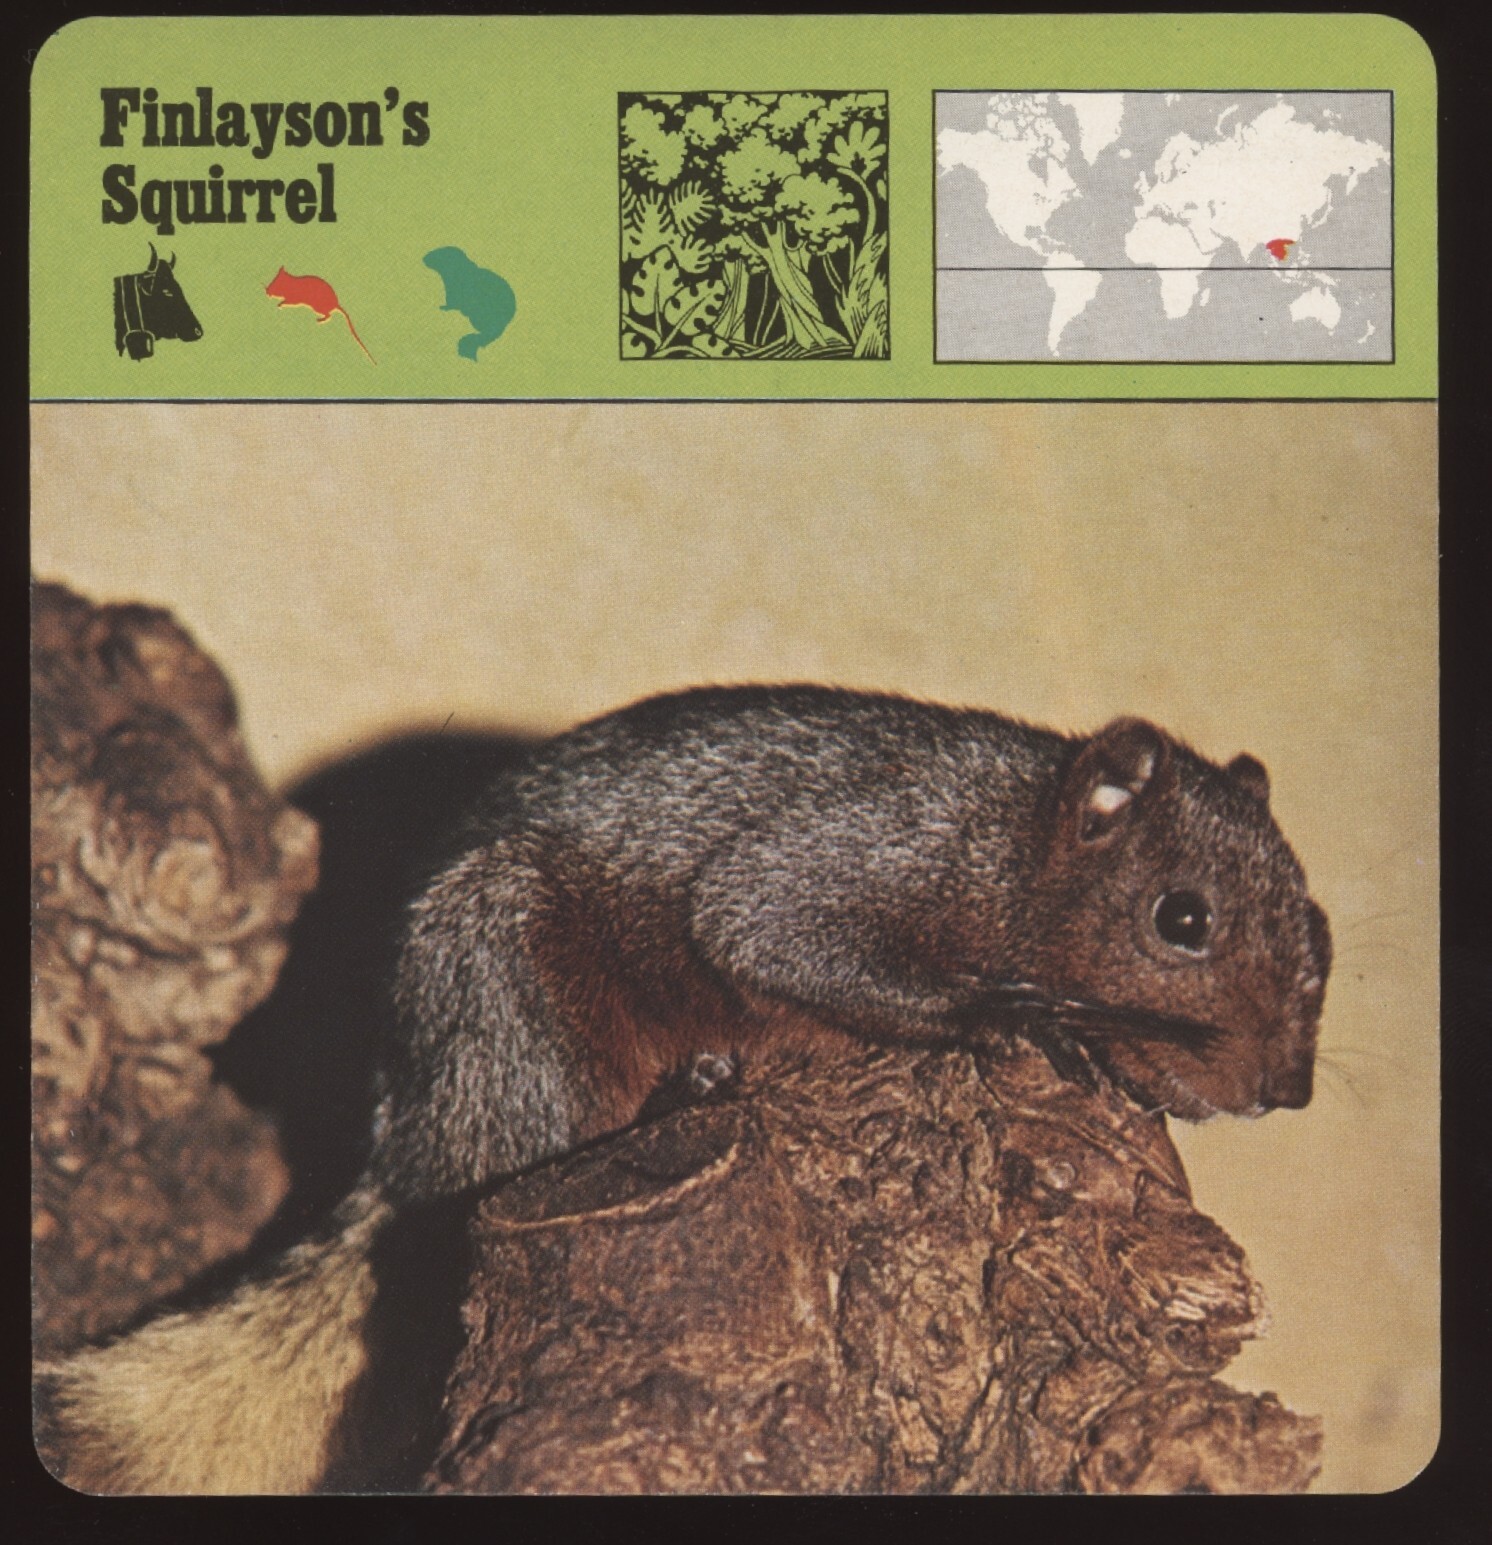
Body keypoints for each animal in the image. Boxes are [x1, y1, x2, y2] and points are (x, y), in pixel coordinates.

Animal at [37, 685, 1331, 1494]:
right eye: (1180, 920)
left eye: (1318, 932)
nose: (1284, 1091)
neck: (1015, 846)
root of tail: (409, 1131)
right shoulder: (846, 862)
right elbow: (771, 935)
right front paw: (1024, 1021)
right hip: (509, 988)